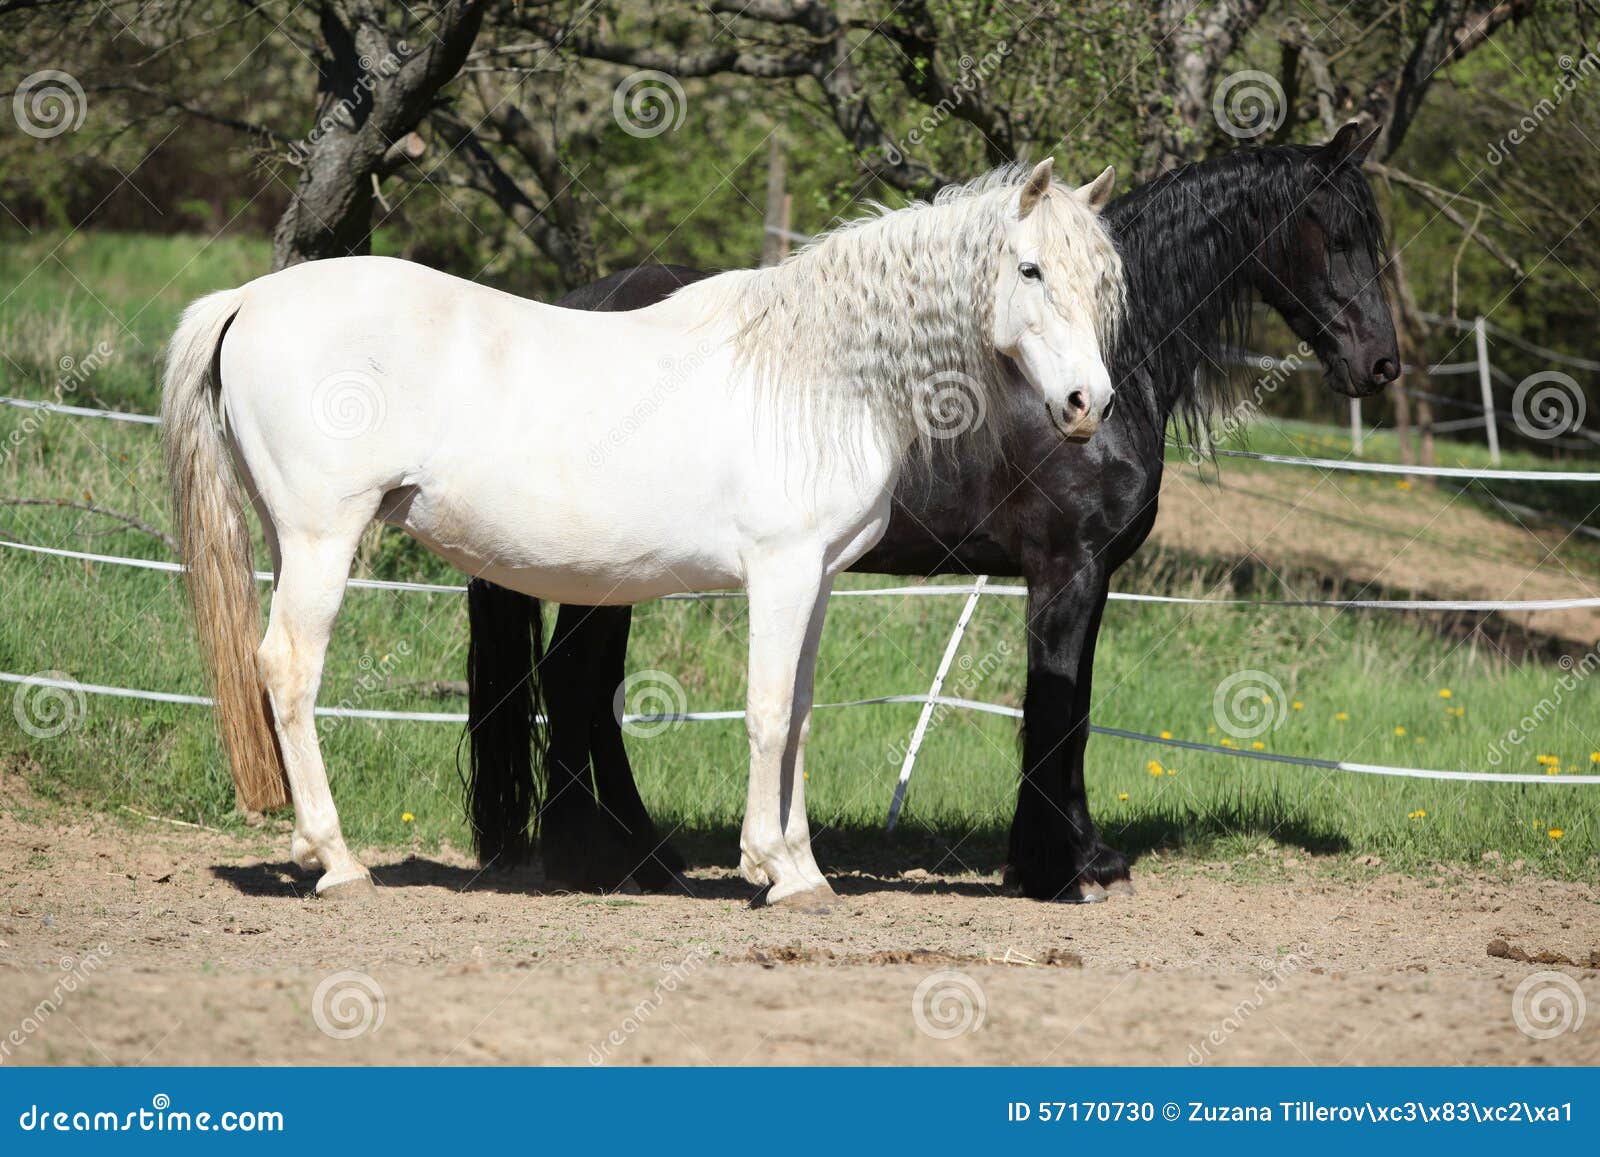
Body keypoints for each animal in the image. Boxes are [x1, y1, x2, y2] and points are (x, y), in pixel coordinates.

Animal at [161, 158, 1127, 907]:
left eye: (1102, 282)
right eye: (1032, 269)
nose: (1089, 404)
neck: (813, 371)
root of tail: (249, 299)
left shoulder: (817, 578)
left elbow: (800, 715)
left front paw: (805, 868)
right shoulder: (779, 571)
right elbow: (766, 710)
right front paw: (772, 866)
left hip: (289, 537)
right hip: (323, 539)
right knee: (288, 669)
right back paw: (339, 861)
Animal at [465, 123, 1400, 901]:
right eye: (1337, 235)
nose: (1381, 364)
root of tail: (579, 303)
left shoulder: (1085, 576)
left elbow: (1072, 707)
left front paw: (1078, 857)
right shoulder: (1068, 569)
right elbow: (1060, 712)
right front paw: (1061, 868)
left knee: (583, 689)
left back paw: (629, 855)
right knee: (577, 684)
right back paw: (617, 857)